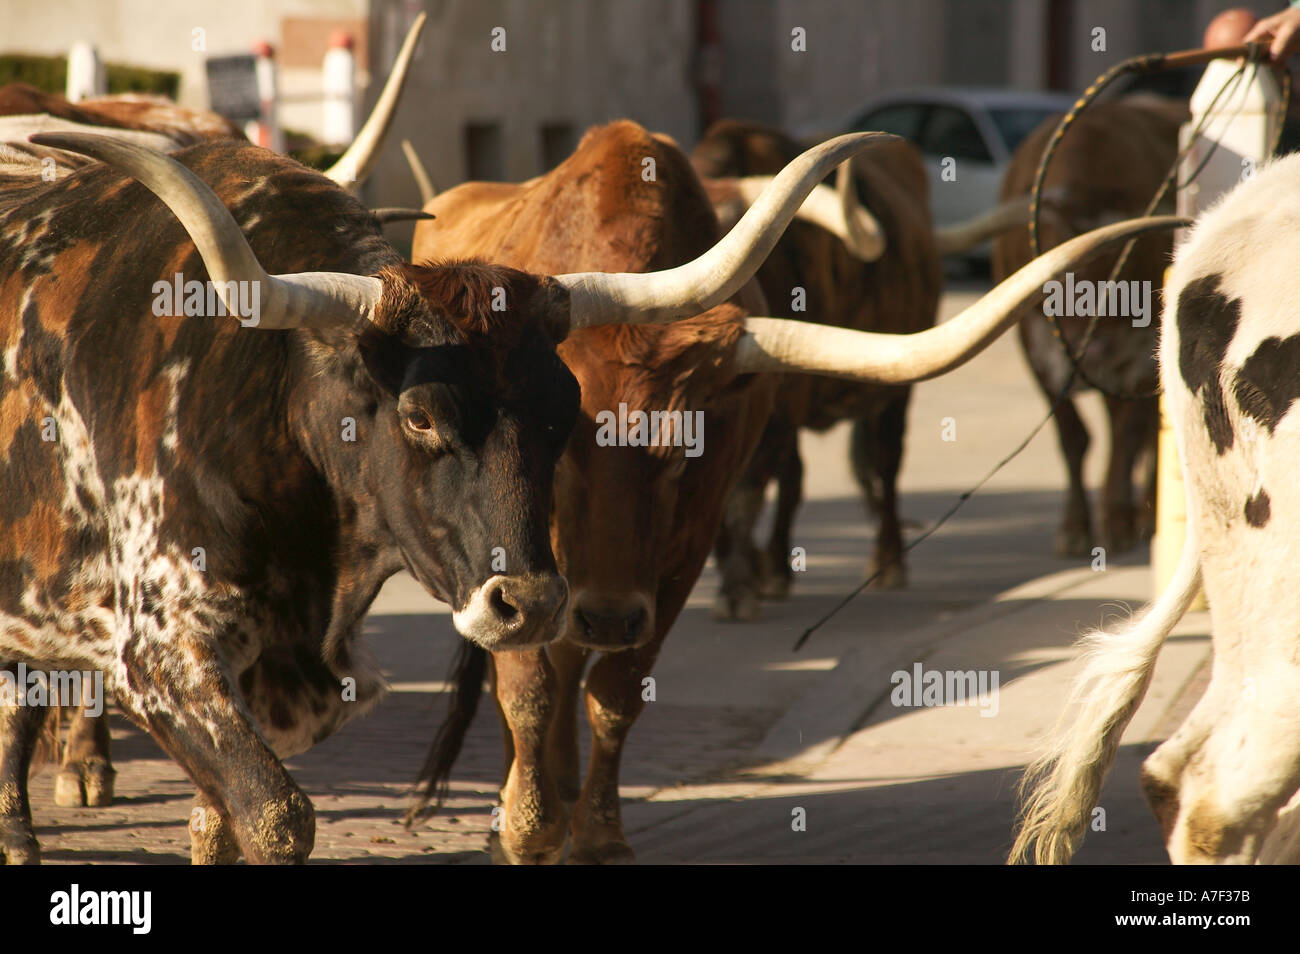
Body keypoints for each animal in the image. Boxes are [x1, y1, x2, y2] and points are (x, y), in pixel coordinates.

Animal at [0, 116, 854, 862]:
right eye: (418, 415)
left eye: (563, 411)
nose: (530, 605)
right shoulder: (158, 653)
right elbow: (276, 816)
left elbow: (219, 825)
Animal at [992, 99, 1186, 557]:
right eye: (1050, 262)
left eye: (1121, 264)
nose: (1090, 350)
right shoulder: (1037, 352)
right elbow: (1073, 436)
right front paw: (1076, 527)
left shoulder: (1139, 352)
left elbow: (1126, 431)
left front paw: (1115, 523)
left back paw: (1140, 515)